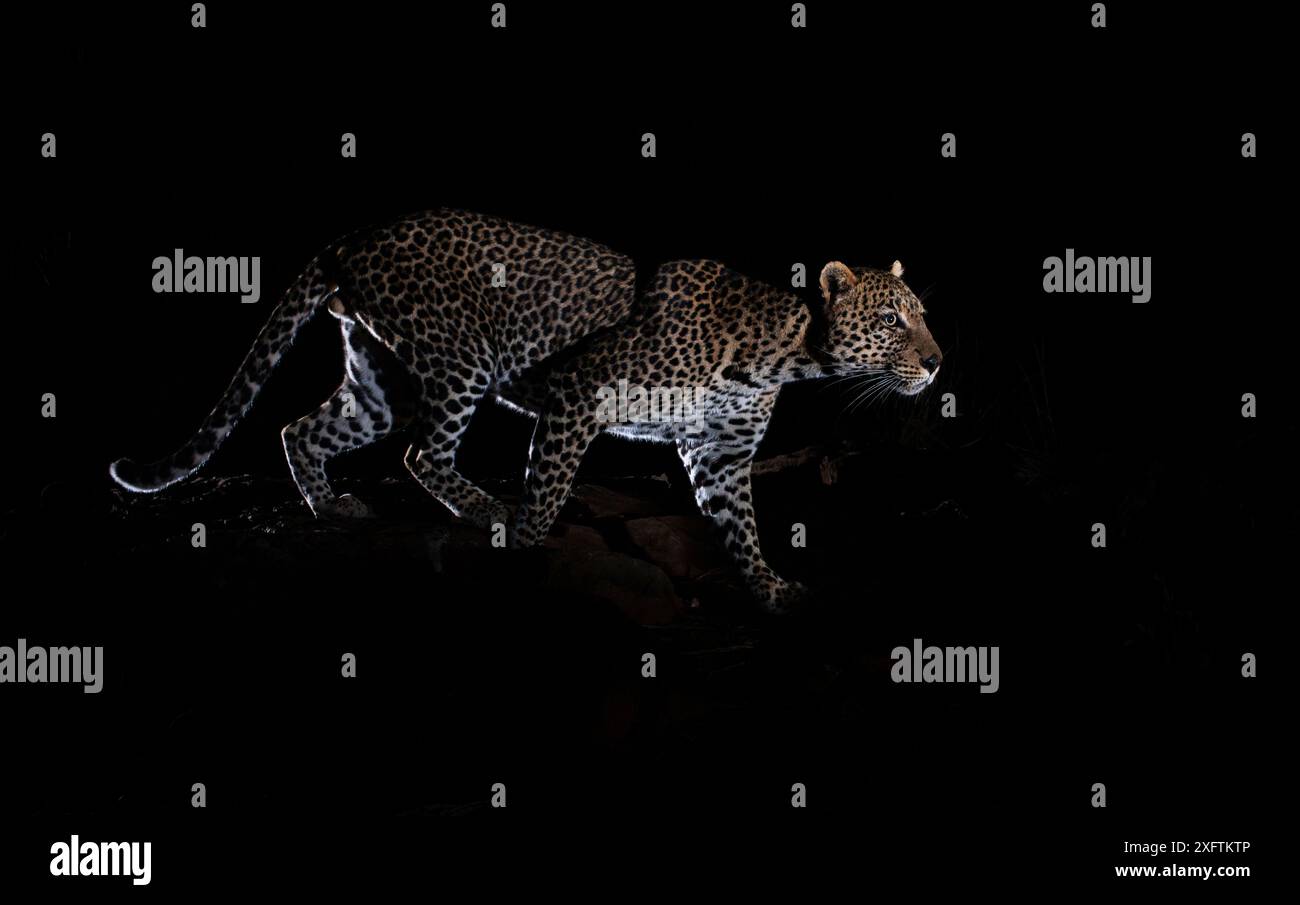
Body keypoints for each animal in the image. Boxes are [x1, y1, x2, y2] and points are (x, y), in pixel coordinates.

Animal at [110, 208, 638, 526]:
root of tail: (357, 237)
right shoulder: (581, 392)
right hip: (462, 359)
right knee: (421, 456)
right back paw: (483, 508)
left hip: (382, 386)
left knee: (298, 430)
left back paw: (330, 507)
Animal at [510, 258, 943, 612]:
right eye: (890, 320)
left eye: (922, 316)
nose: (937, 361)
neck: (783, 356)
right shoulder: (578, 391)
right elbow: (545, 494)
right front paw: (521, 556)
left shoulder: (719, 452)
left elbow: (740, 524)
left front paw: (771, 590)